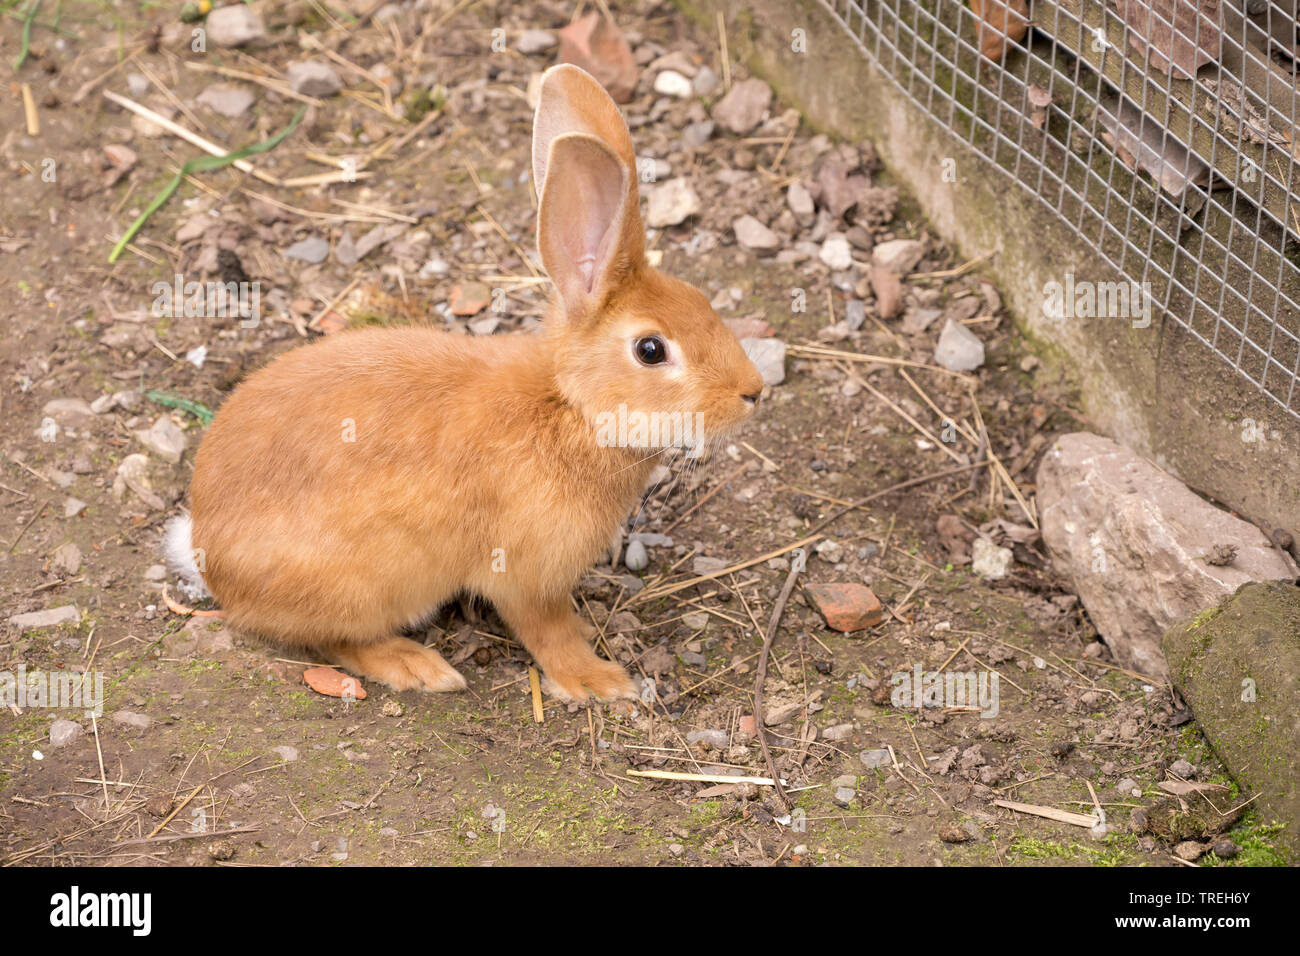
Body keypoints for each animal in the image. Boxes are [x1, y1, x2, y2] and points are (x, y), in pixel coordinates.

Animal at [163, 64, 766, 703]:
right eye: (651, 350)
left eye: (700, 299)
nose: (753, 392)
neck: (569, 407)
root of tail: (209, 557)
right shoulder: (525, 575)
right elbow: (546, 630)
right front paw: (597, 680)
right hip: (361, 587)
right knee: (338, 641)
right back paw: (417, 666)